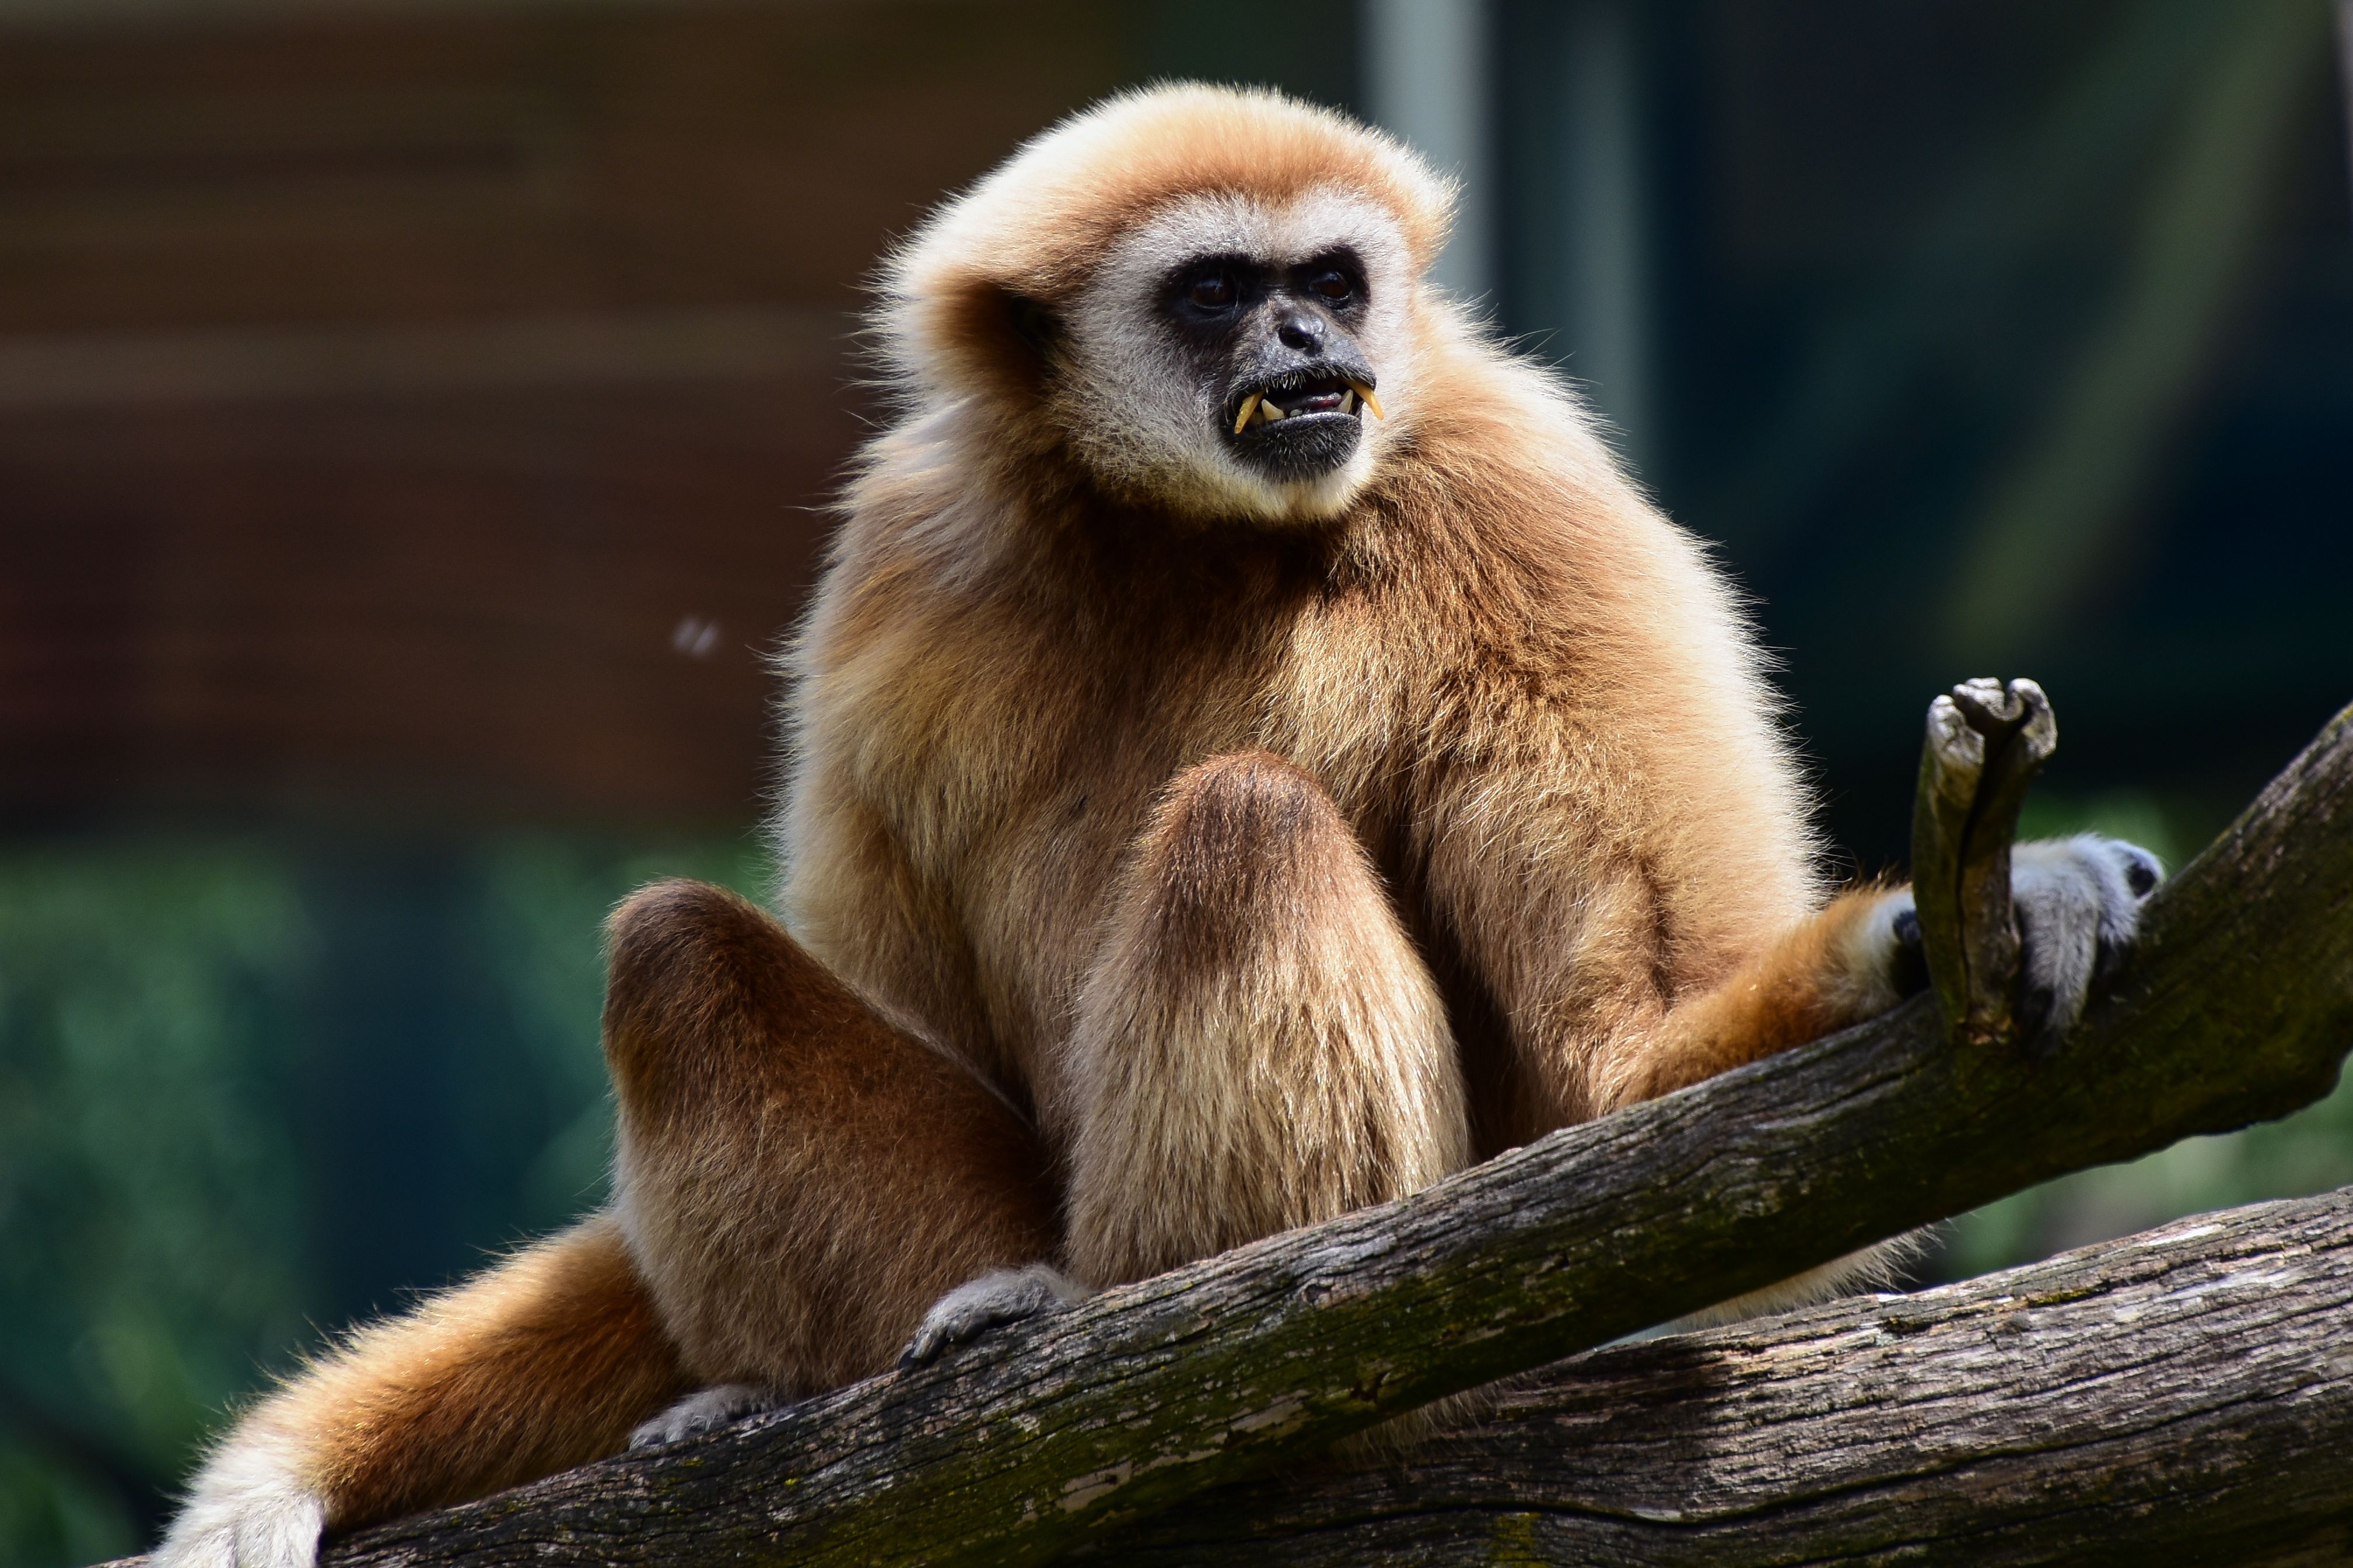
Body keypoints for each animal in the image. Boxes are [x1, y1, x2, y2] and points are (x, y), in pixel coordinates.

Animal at [158, 84, 2162, 1568]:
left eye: (1331, 278)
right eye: (1214, 289)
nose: (1306, 335)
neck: (1176, 537)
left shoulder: (1525, 498)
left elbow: (1622, 1069)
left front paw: (1940, 933)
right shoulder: (903, 560)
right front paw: (282, 1467)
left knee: (1245, 827)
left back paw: (1120, 1326)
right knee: (676, 955)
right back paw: (801, 1390)